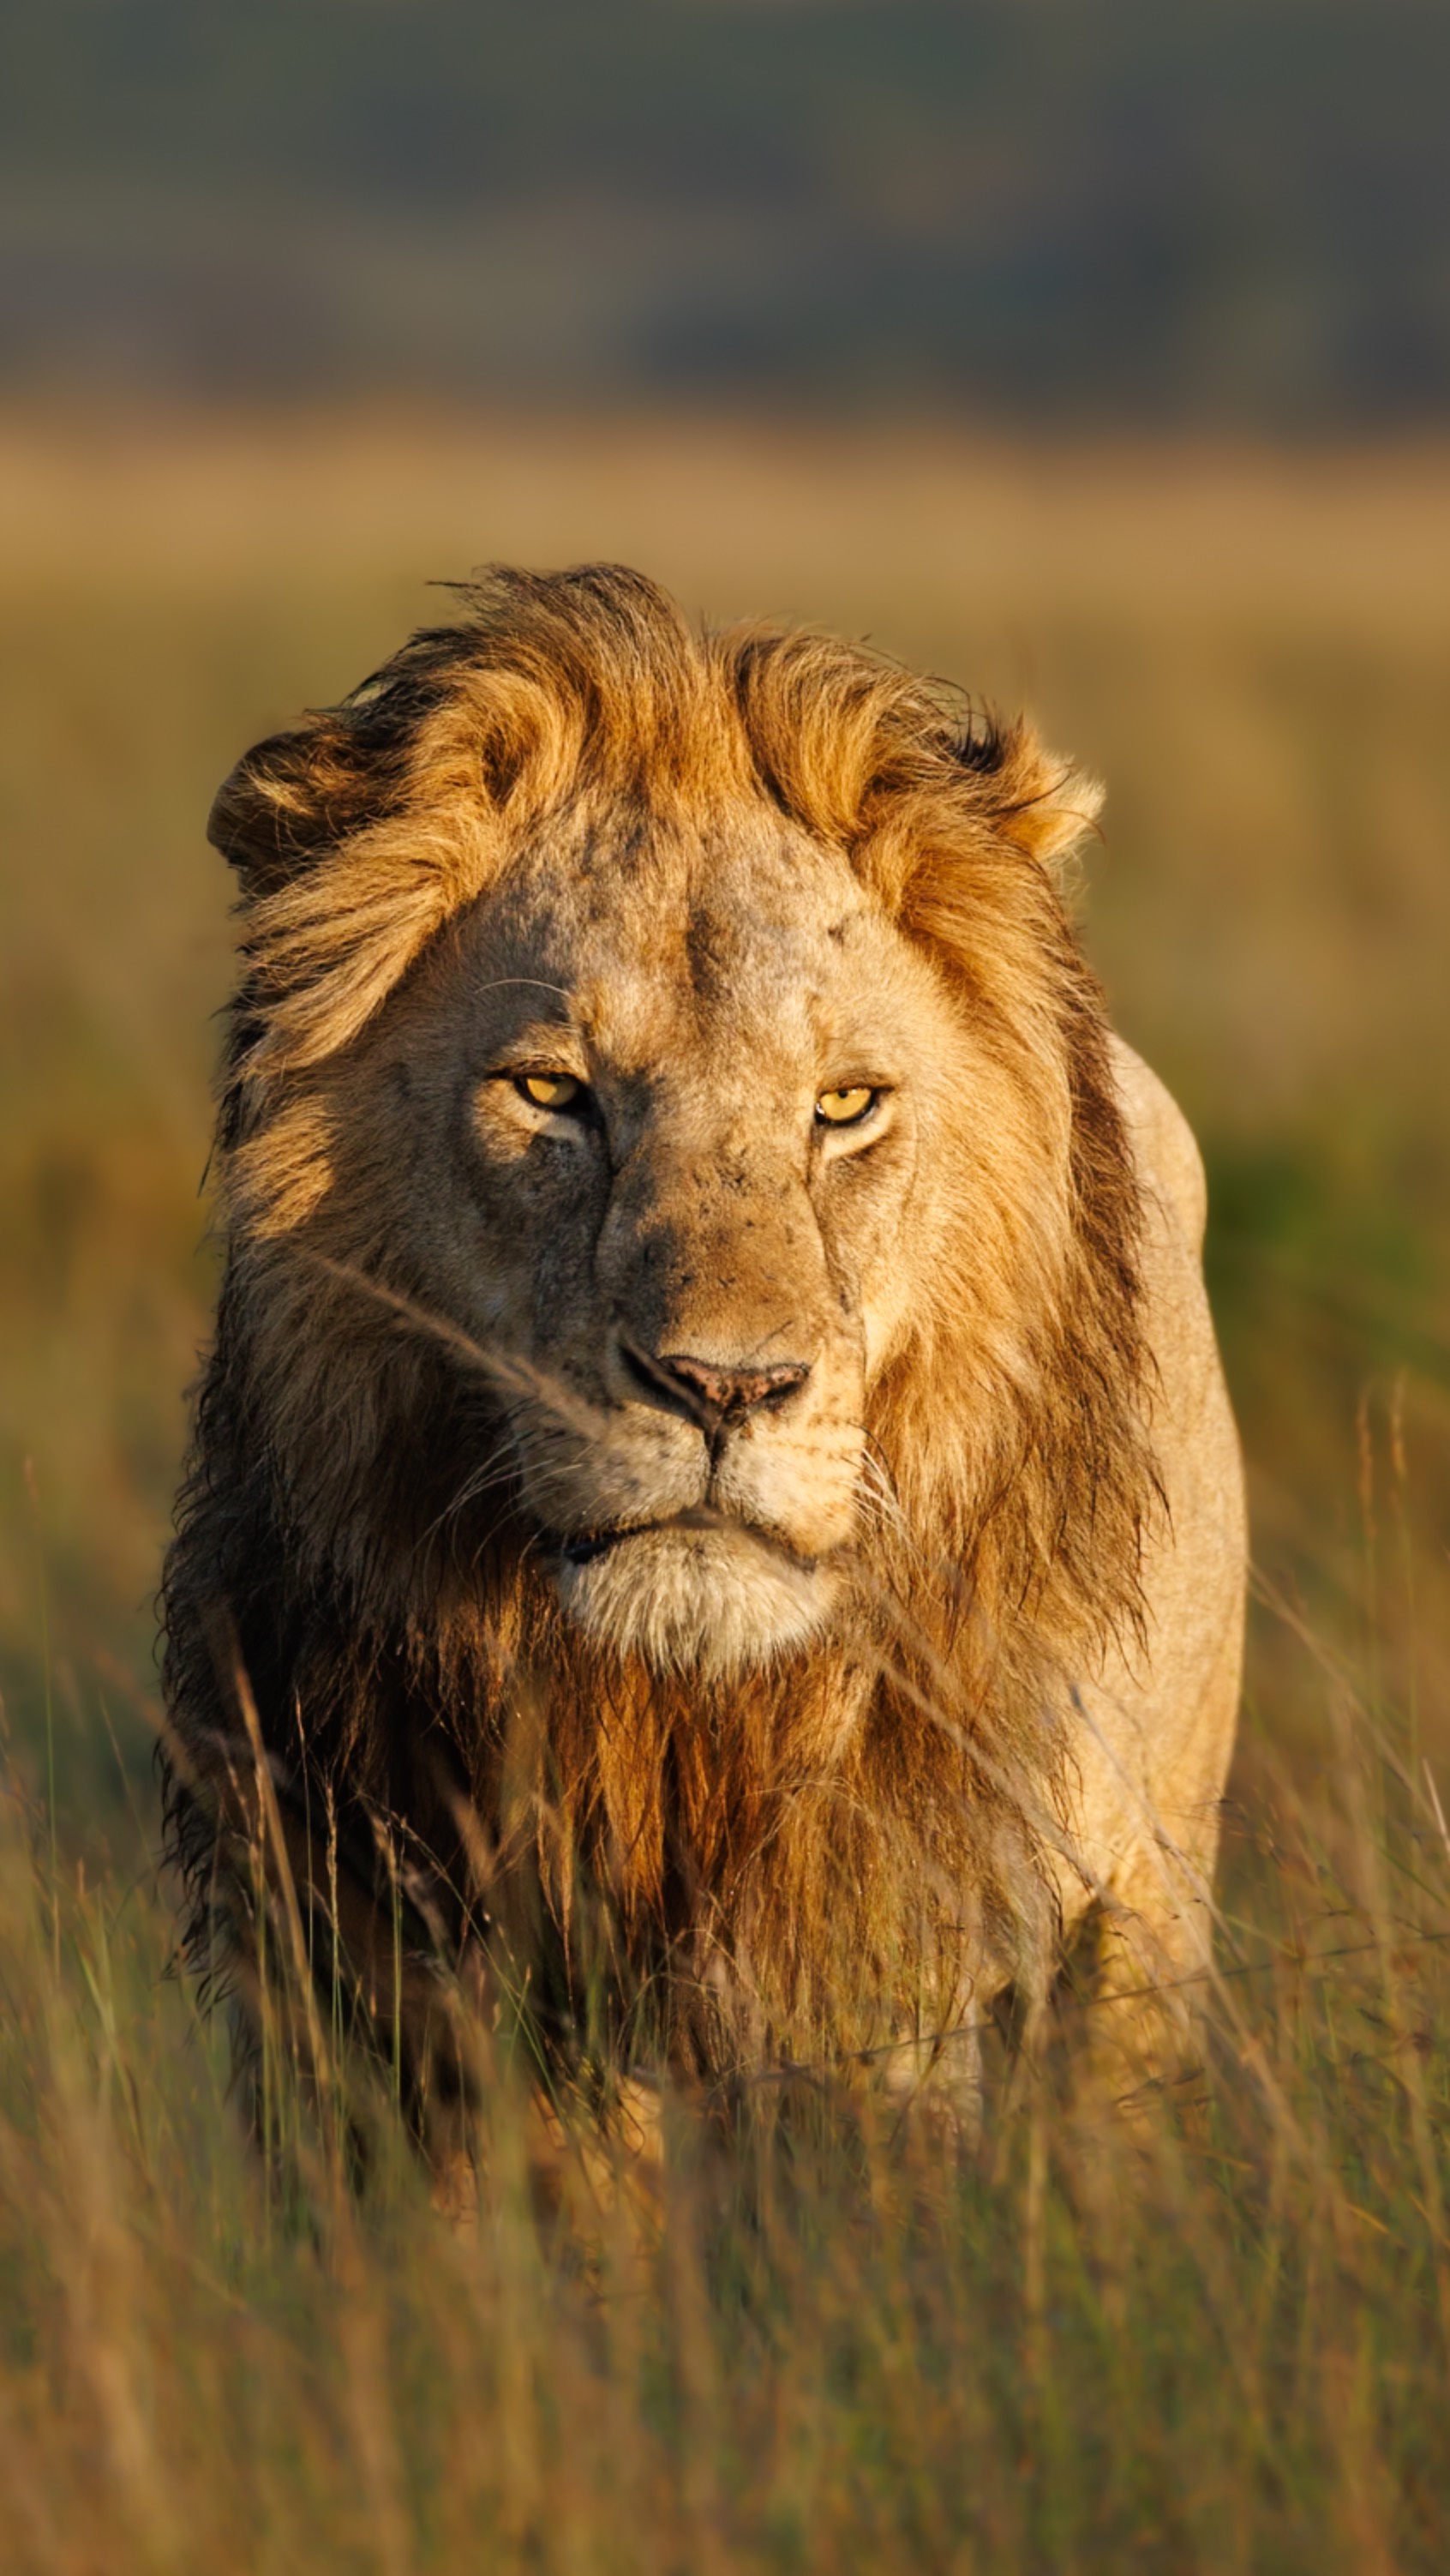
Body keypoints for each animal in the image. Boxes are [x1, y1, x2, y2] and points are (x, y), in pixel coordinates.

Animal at [162, 563, 1245, 2155]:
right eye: (551, 1093)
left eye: (843, 1108)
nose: (726, 1389)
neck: (662, 1728)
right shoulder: (355, 1953)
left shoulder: (876, 1967)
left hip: (1148, 1897)